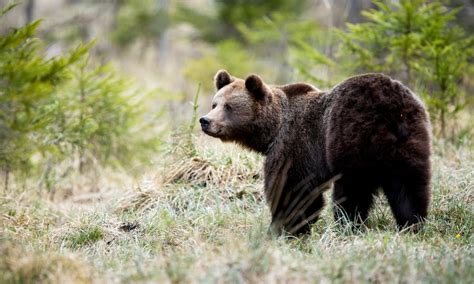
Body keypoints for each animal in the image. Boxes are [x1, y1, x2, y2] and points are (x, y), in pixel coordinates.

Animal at [198, 70, 432, 235]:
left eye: (229, 106)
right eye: (215, 103)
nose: (205, 120)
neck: (272, 130)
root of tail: (392, 109)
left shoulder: (295, 145)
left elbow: (293, 189)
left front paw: (282, 228)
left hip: (351, 136)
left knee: (353, 189)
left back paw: (348, 224)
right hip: (411, 139)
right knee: (409, 185)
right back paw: (411, 223)